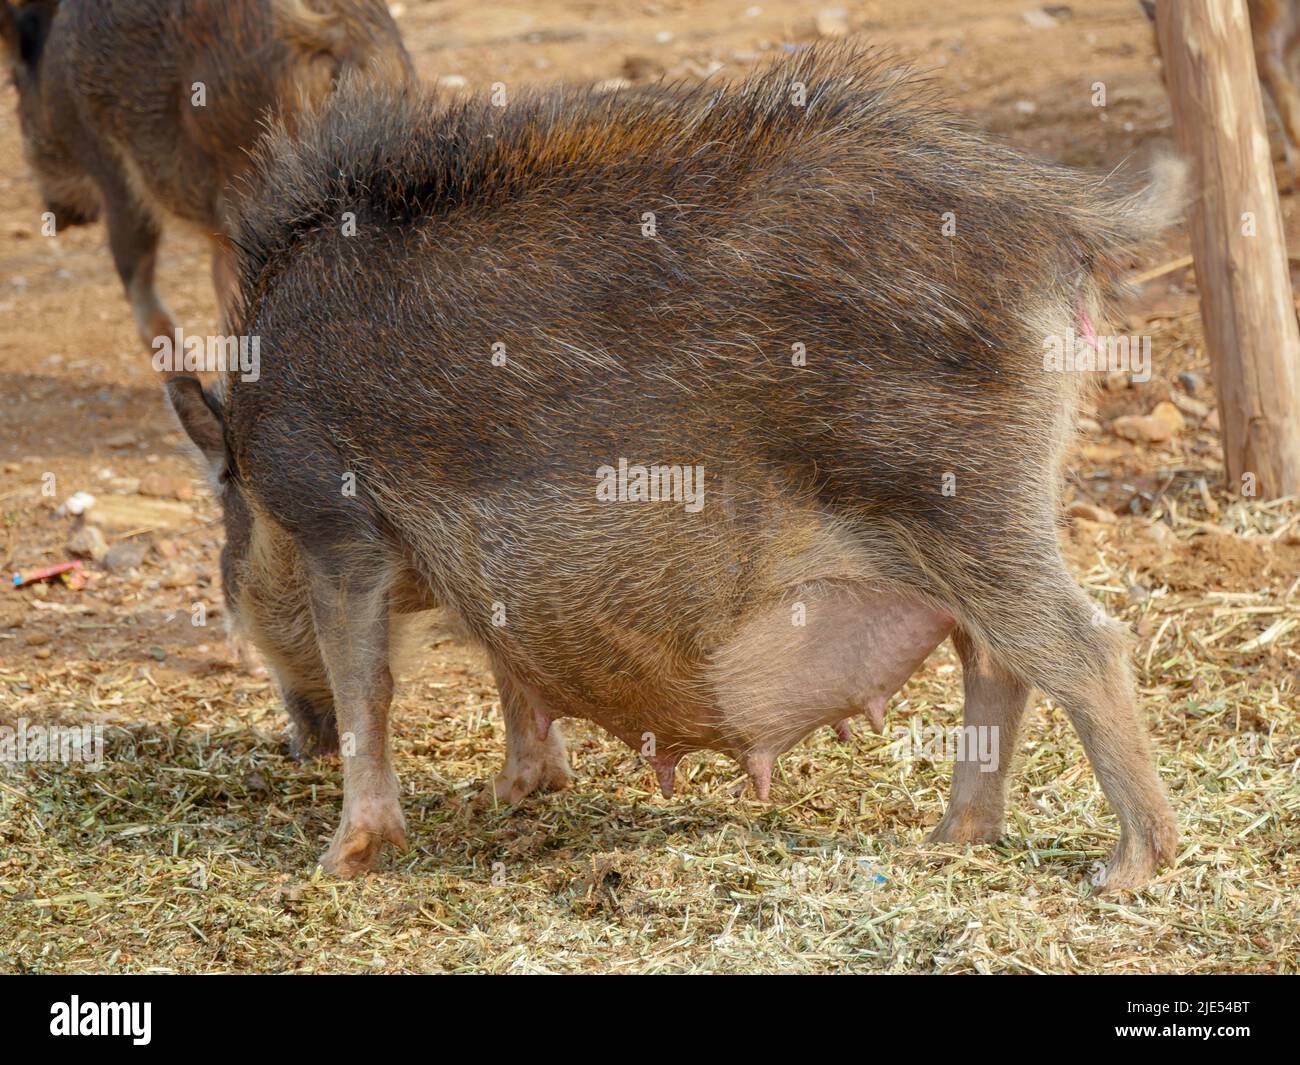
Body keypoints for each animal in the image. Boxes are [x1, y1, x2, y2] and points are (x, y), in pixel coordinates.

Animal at [167, 45, 1181, 891]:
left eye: (227, 564)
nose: (295, 743)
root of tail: (1058, 220)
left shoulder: (335, 518)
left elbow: (368, 685)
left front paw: (341, 861)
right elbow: (507, 661)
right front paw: (516, 792)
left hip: (964, 497)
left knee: (1086, 644)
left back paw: (1125, 870)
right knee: (997, 657)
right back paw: (949, 840)